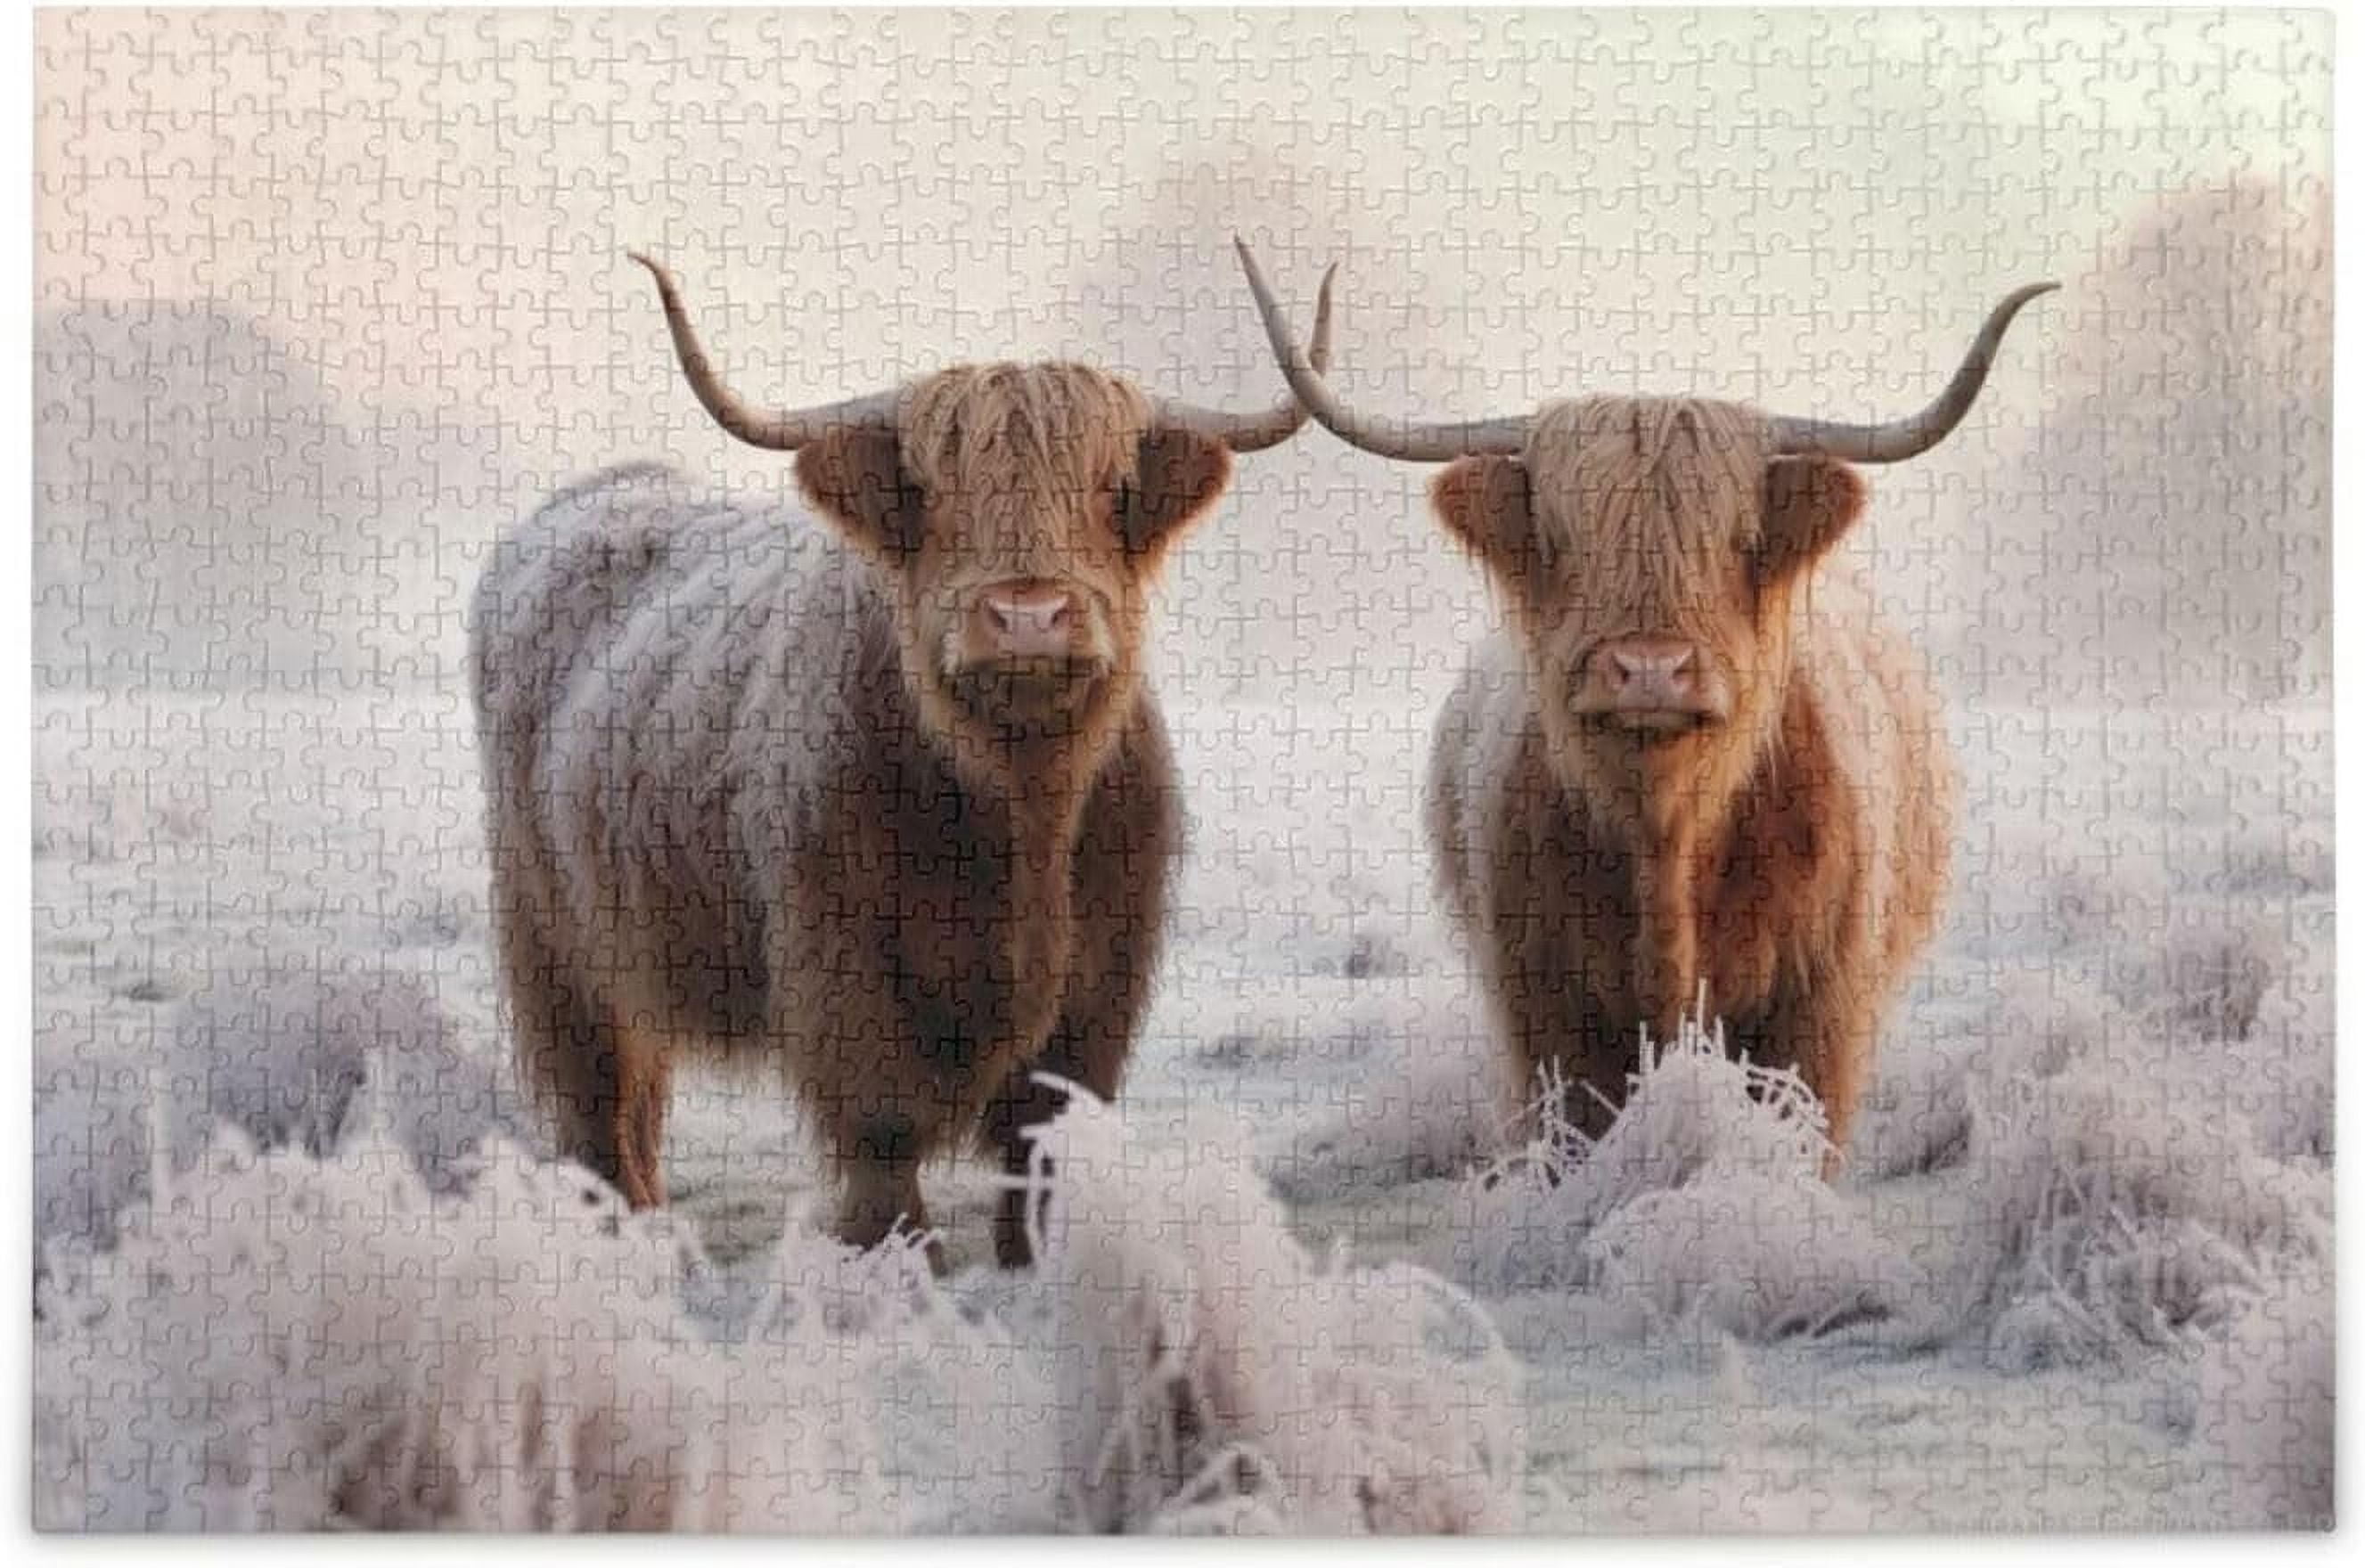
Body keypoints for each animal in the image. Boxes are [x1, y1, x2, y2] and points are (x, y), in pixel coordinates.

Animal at [471, 252, 1334, 1265]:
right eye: (932, 491)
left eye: (1110, 484)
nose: (1028, 615)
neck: (1017, 804)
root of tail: (595, 497)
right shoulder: (836, 956)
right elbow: (881, 1128)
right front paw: (895, 1256)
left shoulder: (1106, 971)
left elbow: (1046, 1130)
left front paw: (1035, 1260)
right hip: (551, 934)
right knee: (596, 1091)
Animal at [1237, 240, 2053, 1161]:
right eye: (1560, 539)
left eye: (1738, 538)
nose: (1651, 670)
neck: (1665, 838)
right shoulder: (1542, 1009)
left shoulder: (1821, 1004)